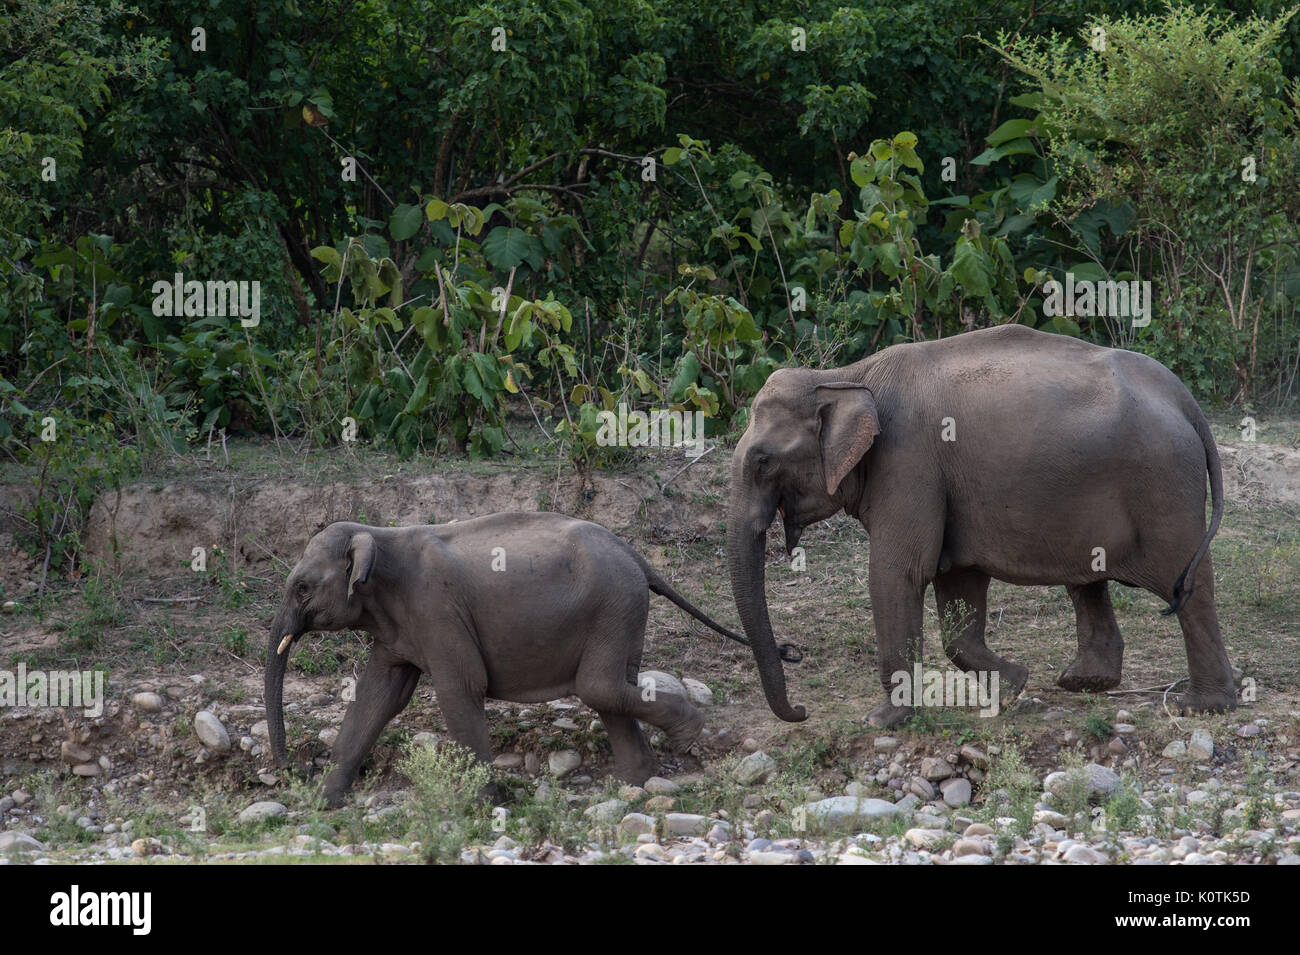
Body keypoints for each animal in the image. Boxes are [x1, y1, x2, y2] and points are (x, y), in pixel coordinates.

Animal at [266, 512, 762, 806]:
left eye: (303, 588)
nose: (290, 770)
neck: (378, 535)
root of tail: (636, 554)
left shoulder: (435, 610)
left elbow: (461, 688)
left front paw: (484, 803)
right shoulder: (400, 627)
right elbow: (379, 695)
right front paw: (324, 802)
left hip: (615, 604)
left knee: (598, 687)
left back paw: (685, 736)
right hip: (621, 609)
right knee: (609, 688)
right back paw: (638, 781)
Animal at [726, 323, 1236, 728]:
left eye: (763, 462)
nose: (801, 711)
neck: (845, 376)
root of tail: (1183, 398)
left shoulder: (908, 461)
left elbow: (899, 572)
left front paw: (882, 720)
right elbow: (956, 584)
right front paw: (1014, 688)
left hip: (1163, 483)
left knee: (1187, 585)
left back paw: (1201, 706)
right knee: (1088, 577)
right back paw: (1084, 682)